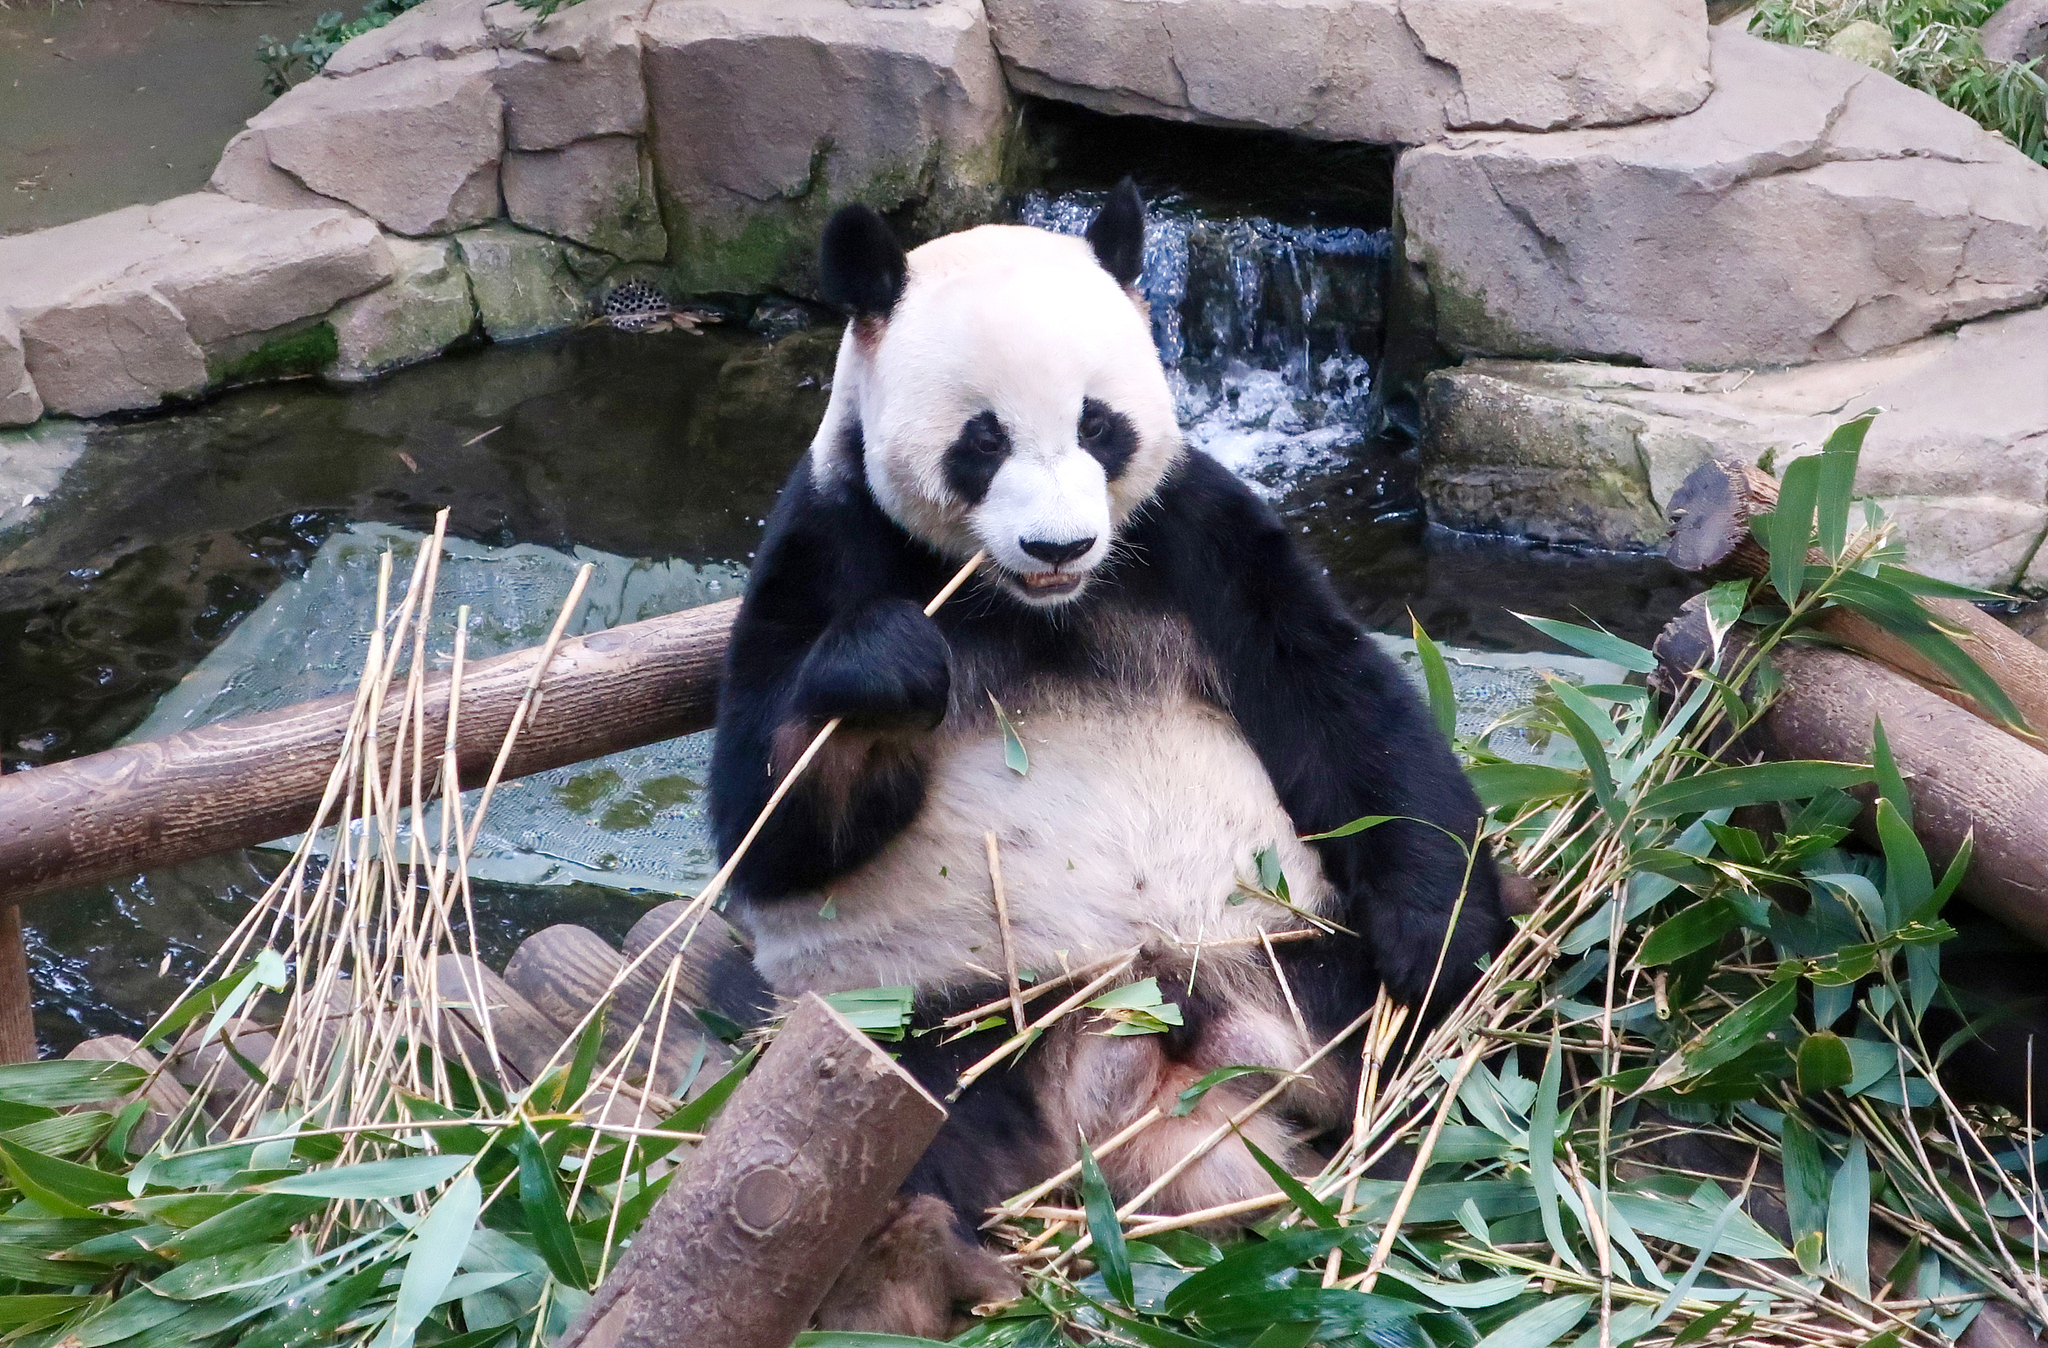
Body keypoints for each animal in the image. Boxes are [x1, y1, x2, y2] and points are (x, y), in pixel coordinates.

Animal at [707, 181, 1506, 1335]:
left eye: (1098, 423)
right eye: (982, 440)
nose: (1060, 545)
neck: (1033, 607)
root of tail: (1153, 1068)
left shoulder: (1194, 531)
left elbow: (1338, 704)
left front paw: (1434, 942)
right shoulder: (824, 541)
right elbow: (763, 821)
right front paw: (888, 668)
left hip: (1289, 950)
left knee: (1456, 1050)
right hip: (923, 1014)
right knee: (908, 1130)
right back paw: (929, 1262)